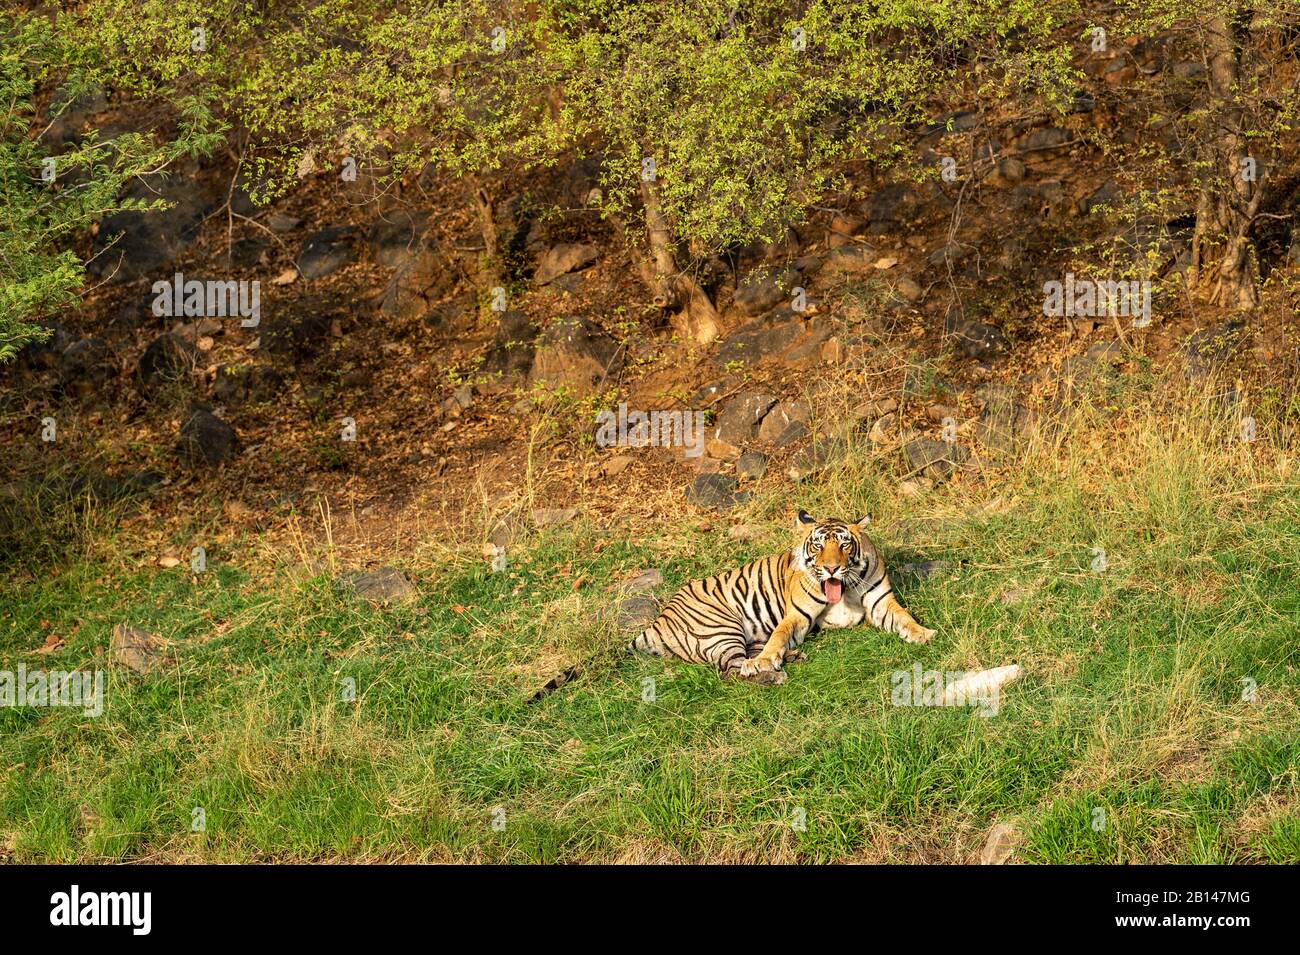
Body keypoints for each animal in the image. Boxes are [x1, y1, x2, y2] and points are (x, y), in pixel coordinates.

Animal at [629, 510, 935, 684]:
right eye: (818, 545)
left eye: (844, 544)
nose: (831, 568)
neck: (844, 588)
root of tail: (657, 621)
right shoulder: (797, 614)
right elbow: (779, 634)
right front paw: (766, 661)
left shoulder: (881, 602)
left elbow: (904, 617)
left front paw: (924, 633)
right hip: (720, 628)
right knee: (732, 670)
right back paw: (772, 674)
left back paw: (791, 657)